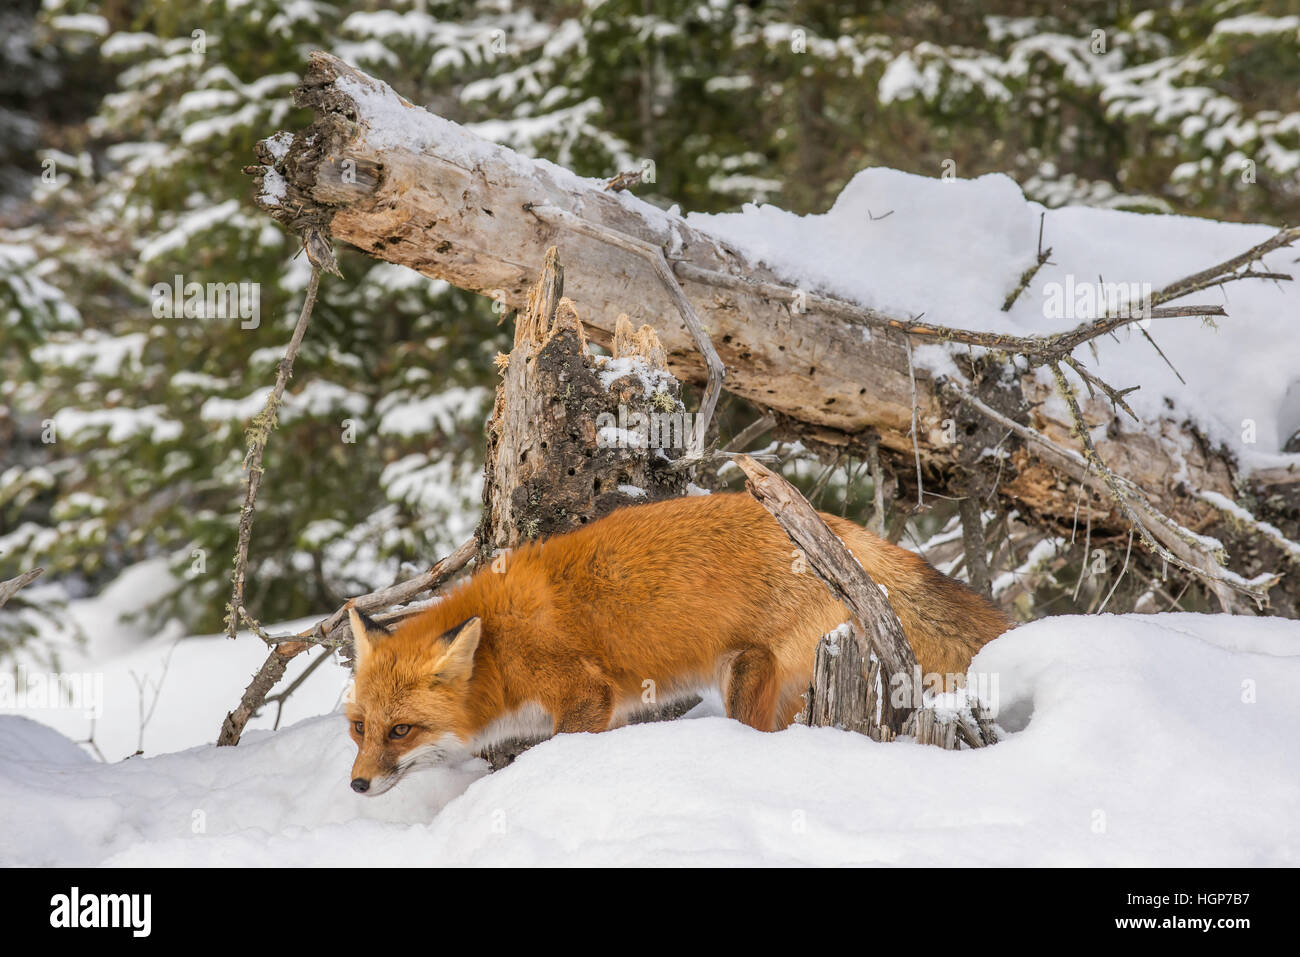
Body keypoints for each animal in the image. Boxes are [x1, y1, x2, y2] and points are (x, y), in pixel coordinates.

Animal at [344, 491, 1012, 795]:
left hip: (748, 678)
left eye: (400, 730)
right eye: (358, 728)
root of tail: (846, 536)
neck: (500, 654)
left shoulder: (585, 695)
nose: (356, 784)